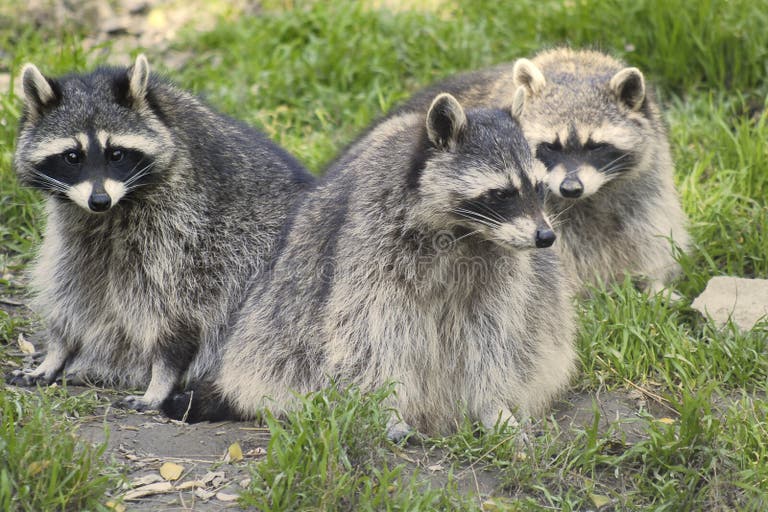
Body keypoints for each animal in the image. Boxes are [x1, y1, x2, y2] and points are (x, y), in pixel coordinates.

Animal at [8, 55, 315, 410]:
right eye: (72, 157)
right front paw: (57, 351)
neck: (113, 211)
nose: (99, 200)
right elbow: (72, 284)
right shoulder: (75, 224)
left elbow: (177, 311)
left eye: (116, 154)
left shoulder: (187, 227)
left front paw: (162, 378)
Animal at [162, 93, 576, 437]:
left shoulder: (500, 271)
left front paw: (491, 403)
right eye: (501, 193)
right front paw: (386, 408)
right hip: (274, 323)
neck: (464, 231)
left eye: (538, 187)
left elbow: (492, 337)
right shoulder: (372, 247)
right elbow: (370, 334)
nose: (545, 237)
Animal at [379, 48, 690, 294]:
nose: (571, 188)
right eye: (551, 146)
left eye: (595, 146)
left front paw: (653, 281)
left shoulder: (647, 175)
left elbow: (648, 225)